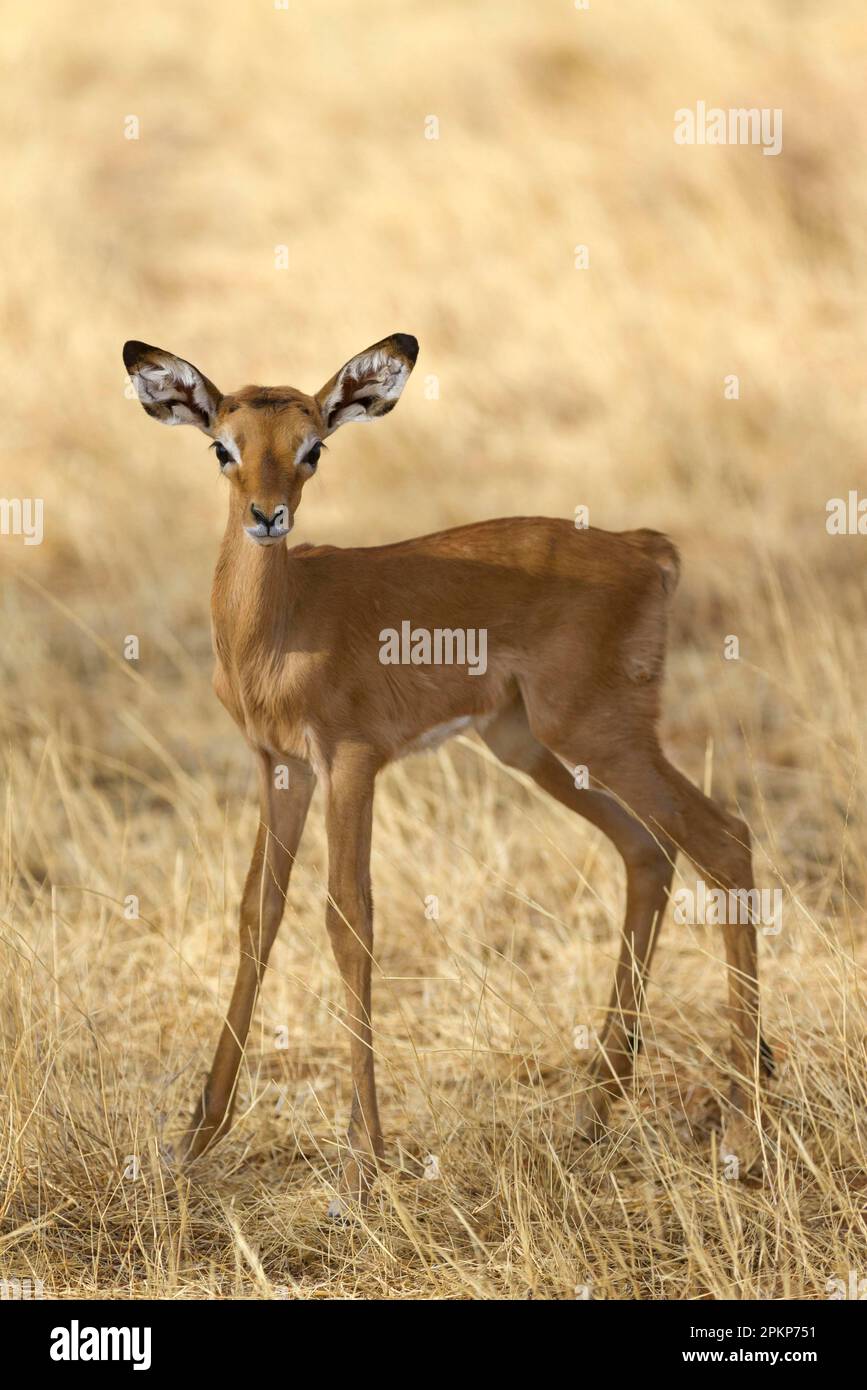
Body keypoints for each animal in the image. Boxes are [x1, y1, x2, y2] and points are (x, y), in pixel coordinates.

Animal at [122, 332, 773, 1208]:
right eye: (223, 446)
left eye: (312, 448)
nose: (267, 517)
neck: (282, 625)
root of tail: (646, 549)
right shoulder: (281, 768)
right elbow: (258, 914)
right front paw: (194, 1140)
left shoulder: (351, 762)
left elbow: (349, 921)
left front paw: (358, 1170)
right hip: (529, 746)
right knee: (649, 851)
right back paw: (593, 1112)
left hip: (599, 735)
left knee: (724, 839)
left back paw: (741, 1140)